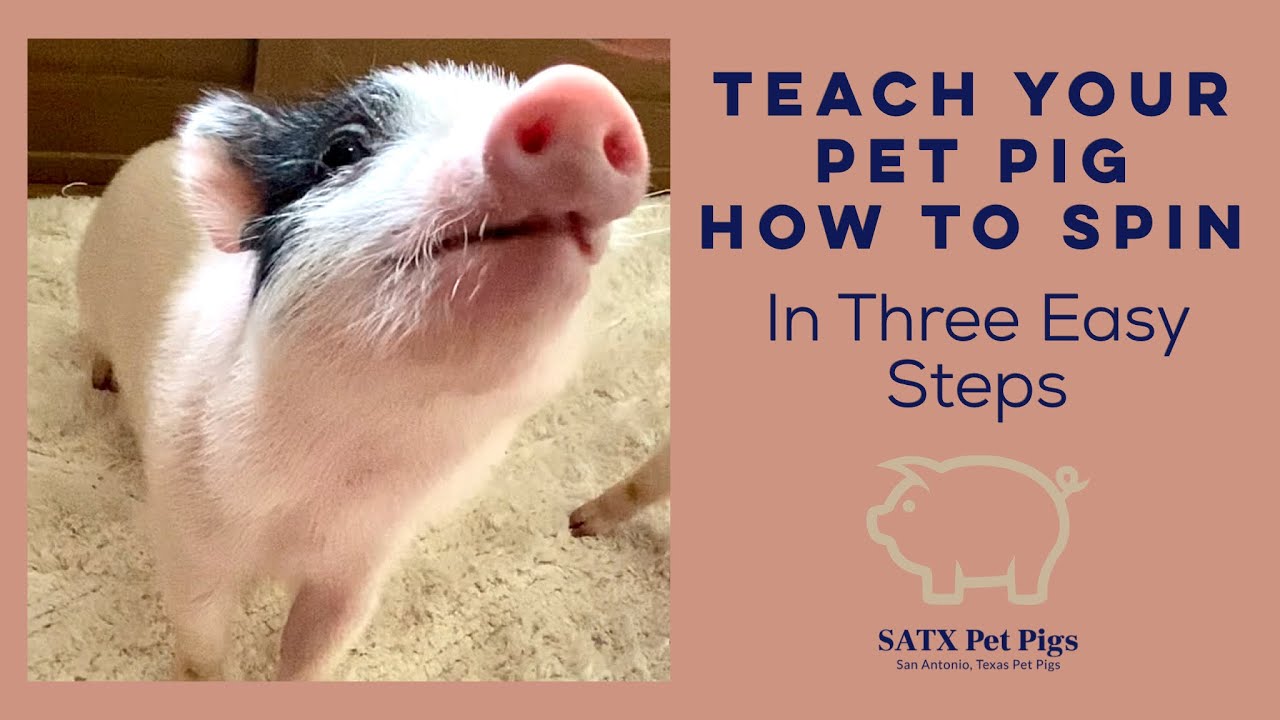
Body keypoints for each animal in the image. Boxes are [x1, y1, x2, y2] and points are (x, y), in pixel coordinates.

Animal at [73, 61, 650, 681]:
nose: (580, 88)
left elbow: (318, 646)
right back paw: (101, 380)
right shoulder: (188, 531)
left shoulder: (365, 561)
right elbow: (200, 642)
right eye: (343, 149)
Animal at [866, 455, 1089, 605]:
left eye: (908, 505)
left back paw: (1025, 599)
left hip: (1032, 553)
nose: (875, 515)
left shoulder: (944, 561)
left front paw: (939, 599)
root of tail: (1058, 494)